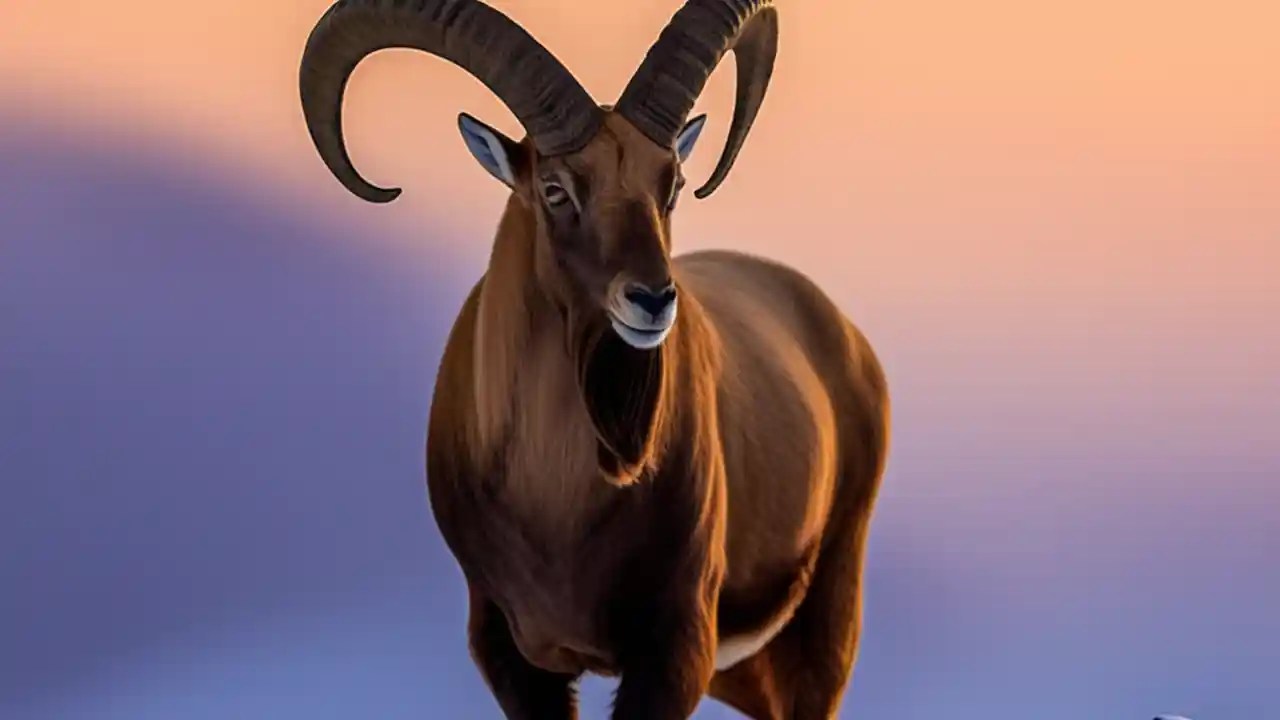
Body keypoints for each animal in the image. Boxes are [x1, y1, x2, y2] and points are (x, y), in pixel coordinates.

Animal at [299, 1, 890, 718]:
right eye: (555, 188)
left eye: (672, 183)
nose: (652, 299)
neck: (558, 508)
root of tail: (843, 336)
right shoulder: (508, 644)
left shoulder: (675, 644)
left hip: (827, 611)